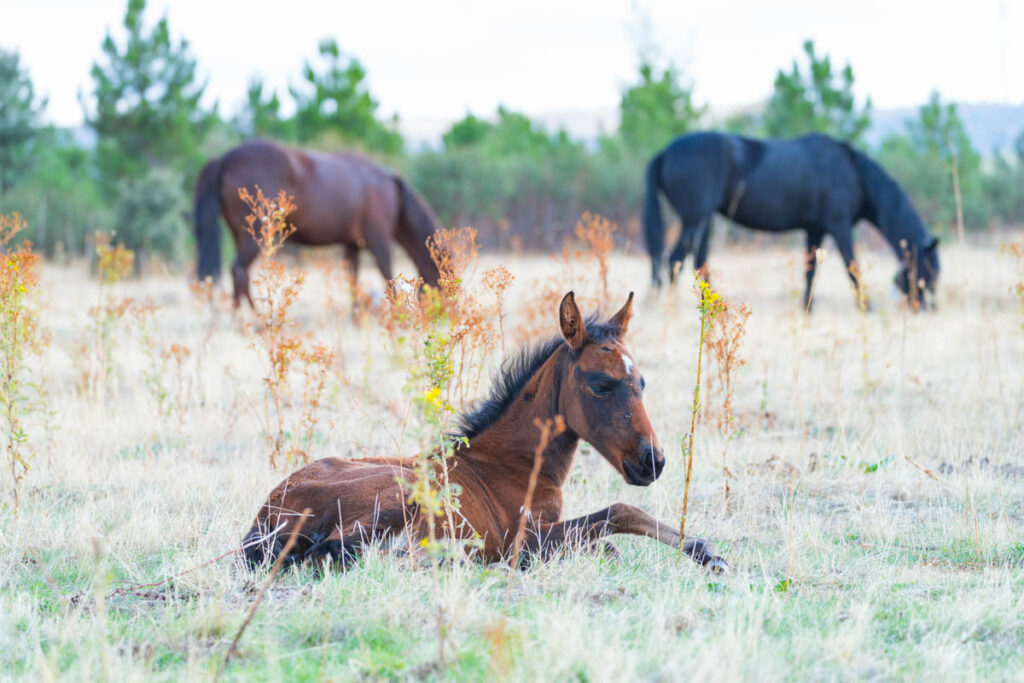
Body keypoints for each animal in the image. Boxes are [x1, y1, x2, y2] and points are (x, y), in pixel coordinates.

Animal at [194, 140, 442, 307]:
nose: (445, 313)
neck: (390, 192)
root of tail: (225, 159)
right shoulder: (379, 241)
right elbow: (388, 278)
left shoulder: (352, 245)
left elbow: (353, 280)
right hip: (256, 236)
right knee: (238, 271)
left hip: (241, 235)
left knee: (240, 274)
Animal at [241, 291, 728, 572]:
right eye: (600, 385)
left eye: (641, 382)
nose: (652, 461)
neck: (513, 462)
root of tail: (268, 511)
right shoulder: (526, 538)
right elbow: (618, 514)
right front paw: (705, 552)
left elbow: (609, 538)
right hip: (399, 493)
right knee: (345, 552)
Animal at [643, 131, 940, 310]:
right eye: (928, 271)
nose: (927, 308)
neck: (853, 173)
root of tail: (665, 152)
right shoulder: (839, 226)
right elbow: (851, 267)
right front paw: (866, 306)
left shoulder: (815, 230)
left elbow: (809, 271)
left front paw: (807, 308)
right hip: (695, 219)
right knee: (675, 260)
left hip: (703, 221)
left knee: (697, 260)